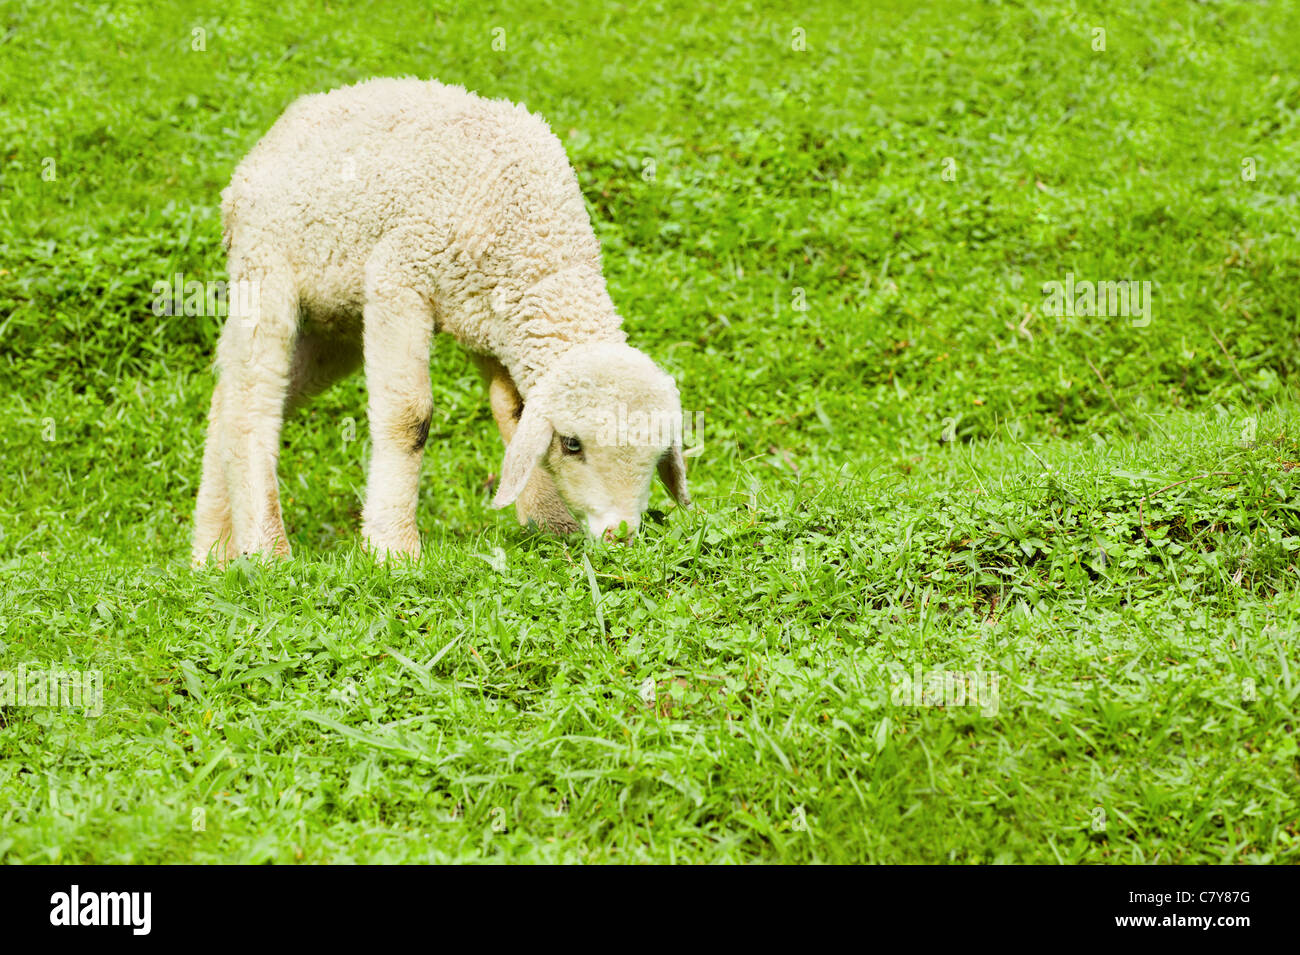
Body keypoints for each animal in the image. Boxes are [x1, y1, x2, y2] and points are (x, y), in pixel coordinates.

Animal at [191, 80, 691, 566]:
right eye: (572, 444)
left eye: (658, 452)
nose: (618, 535)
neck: (536, 241)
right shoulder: (400, 274)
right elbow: (408, 416)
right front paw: (392, 549)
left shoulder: (493, 319)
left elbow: (513, 412)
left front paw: (550, 525)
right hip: (265, 267)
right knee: (252, 403)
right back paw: (266, 549)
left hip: (333, 323)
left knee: (227, 396)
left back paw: (212, 558)